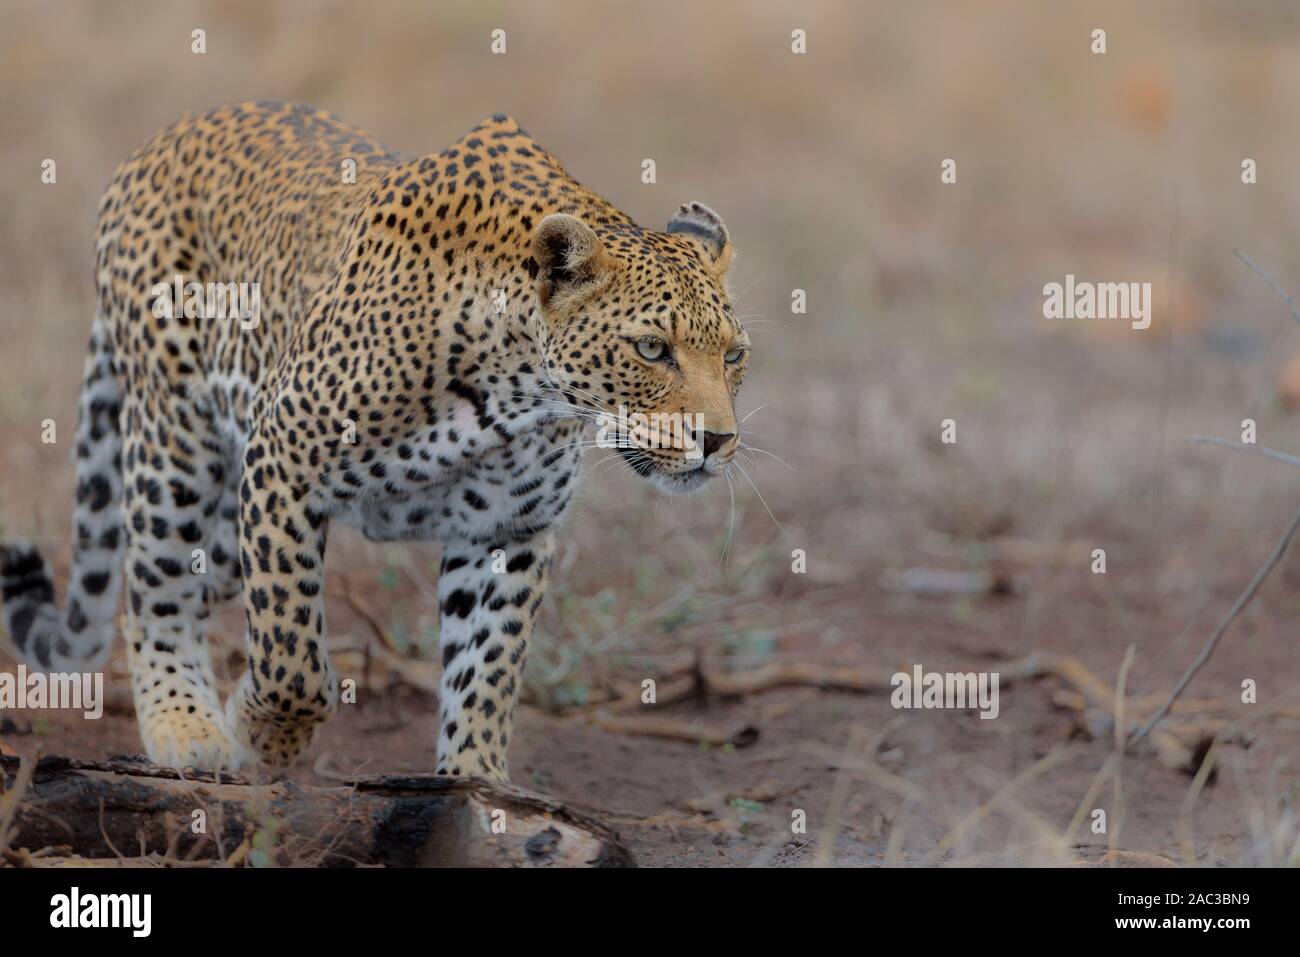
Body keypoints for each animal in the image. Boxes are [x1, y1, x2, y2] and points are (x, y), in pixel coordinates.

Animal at [0, 101, 748, 779]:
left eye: (735, 355)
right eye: (651, 349)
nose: (717, 440)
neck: (519, 393)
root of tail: (161, 139)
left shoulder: (509, 528)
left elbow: (488, 669)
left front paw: (475, 789)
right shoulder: (283, 458)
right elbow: (291, 650)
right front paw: (261, 732)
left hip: (229, 518)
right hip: (176, 440)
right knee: (155, 585)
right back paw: (184, 725)